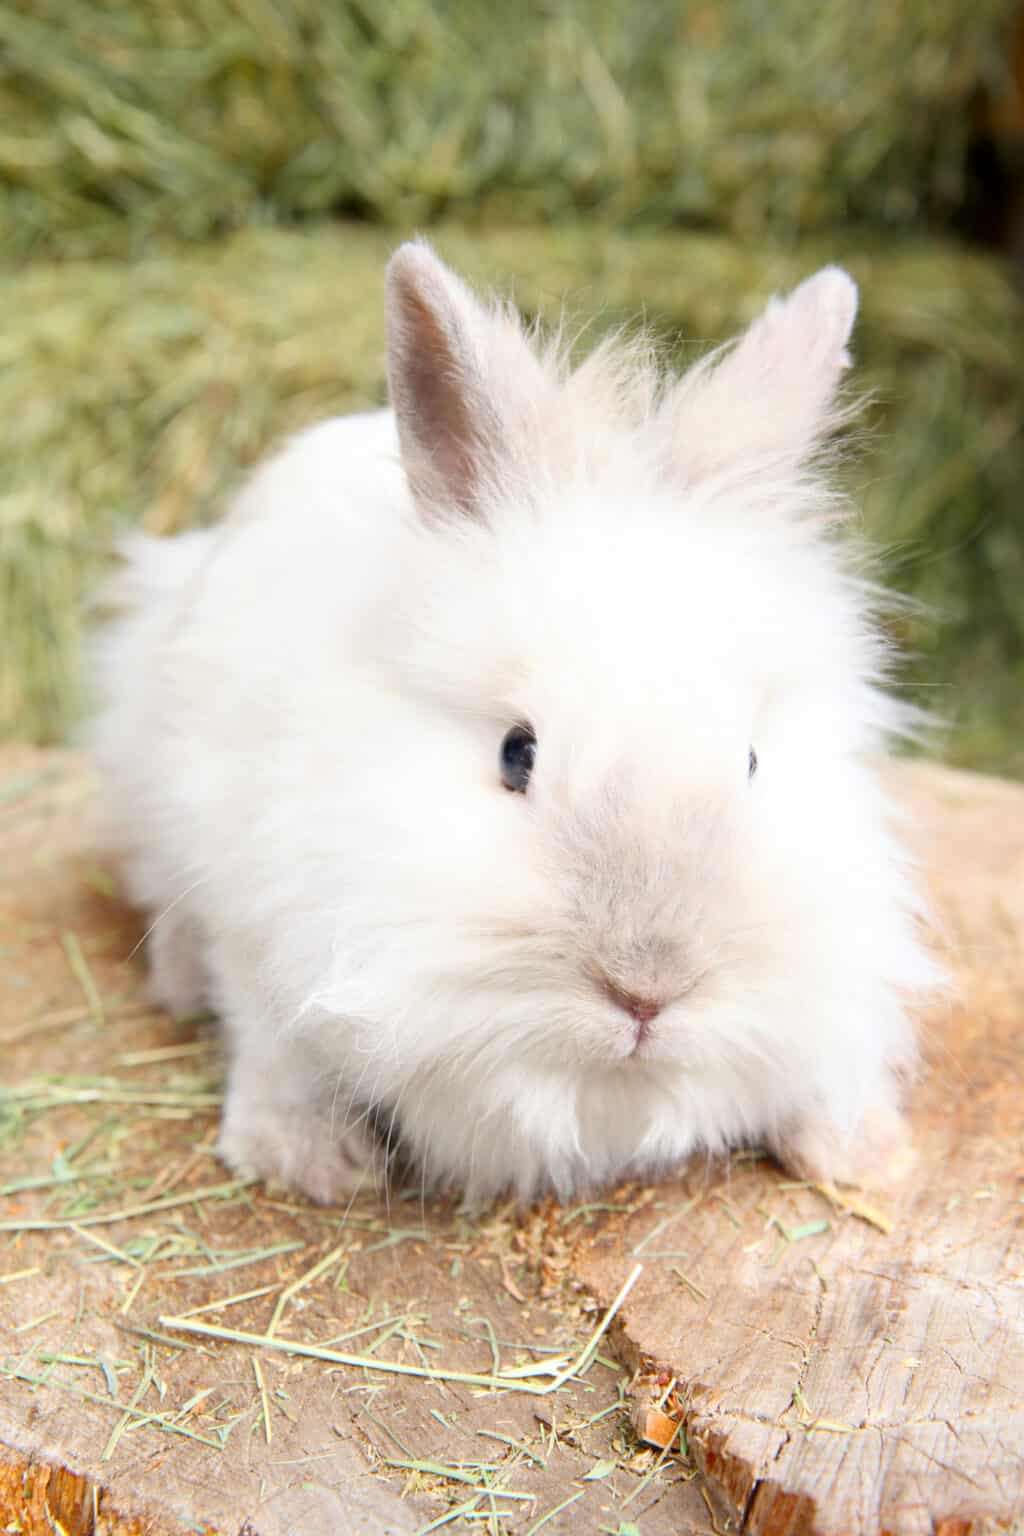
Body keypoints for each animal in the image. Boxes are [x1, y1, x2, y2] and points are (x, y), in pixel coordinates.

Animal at [88, 241, 941, 1208]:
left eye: (754, 760)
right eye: (516, 754)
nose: (648, 991)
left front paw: (868, 1156)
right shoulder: (253, 896)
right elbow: (272, 1041)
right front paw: (310, 1161)